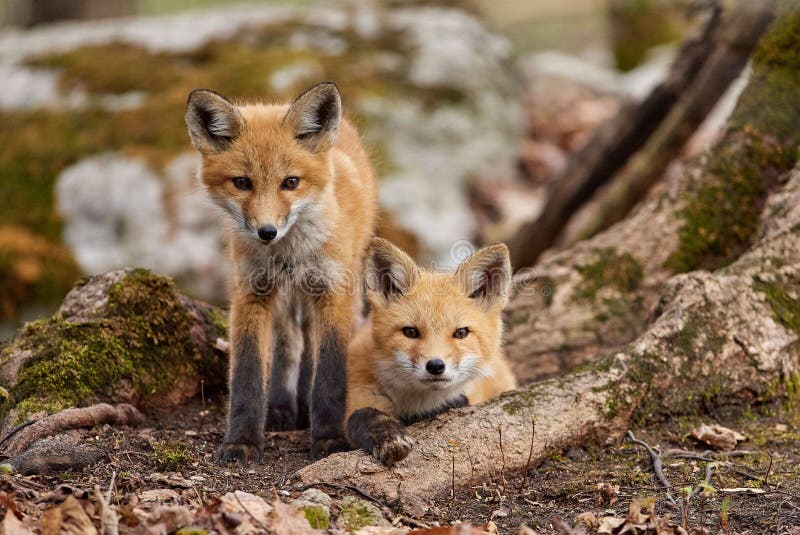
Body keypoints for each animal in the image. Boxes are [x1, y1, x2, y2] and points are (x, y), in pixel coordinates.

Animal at [185, 82, 378, 464]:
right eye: (241, 182)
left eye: (290, 182)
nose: (267, 232)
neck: (289, 254)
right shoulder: (250, 292)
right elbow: (247, 373)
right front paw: (242, 441)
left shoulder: (332, 291)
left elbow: (329, 372)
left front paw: (330, 438)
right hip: (285, 299)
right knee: (291, 342)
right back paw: (281, 407)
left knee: (310, 349)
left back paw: (304, 407)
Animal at [345, 238, 517, 466]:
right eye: (410, 332)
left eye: (461, 332)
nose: (435, 366)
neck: (418, 404)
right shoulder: (357, 394)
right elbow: (364, 415)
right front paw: (389, 437)